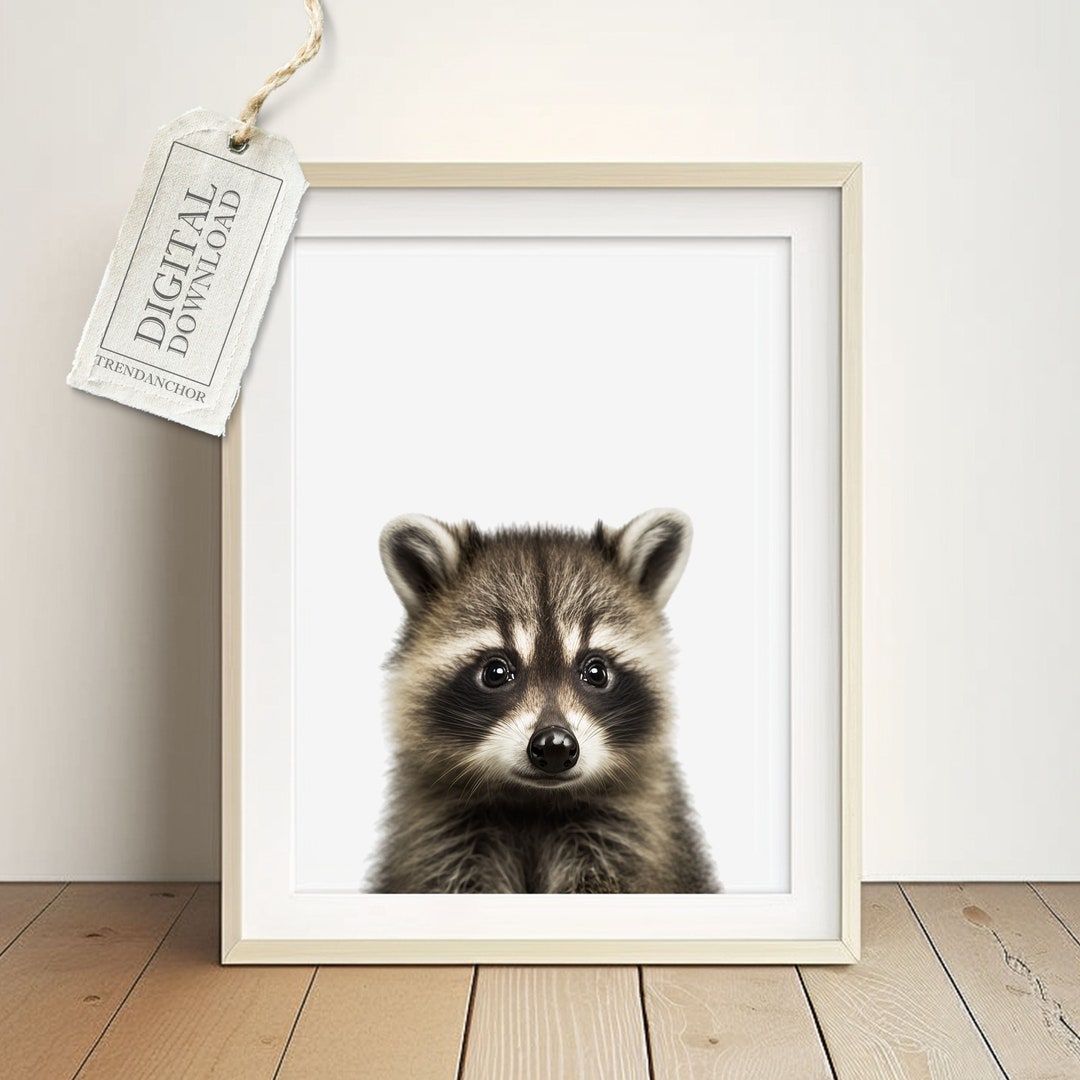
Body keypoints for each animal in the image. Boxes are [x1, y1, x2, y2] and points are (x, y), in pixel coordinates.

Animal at [368, 508, 718, 894]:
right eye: (495, 672)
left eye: (596, 672)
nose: (554, 746)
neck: (534, 803)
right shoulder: (442, 837)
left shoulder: (628, 833)